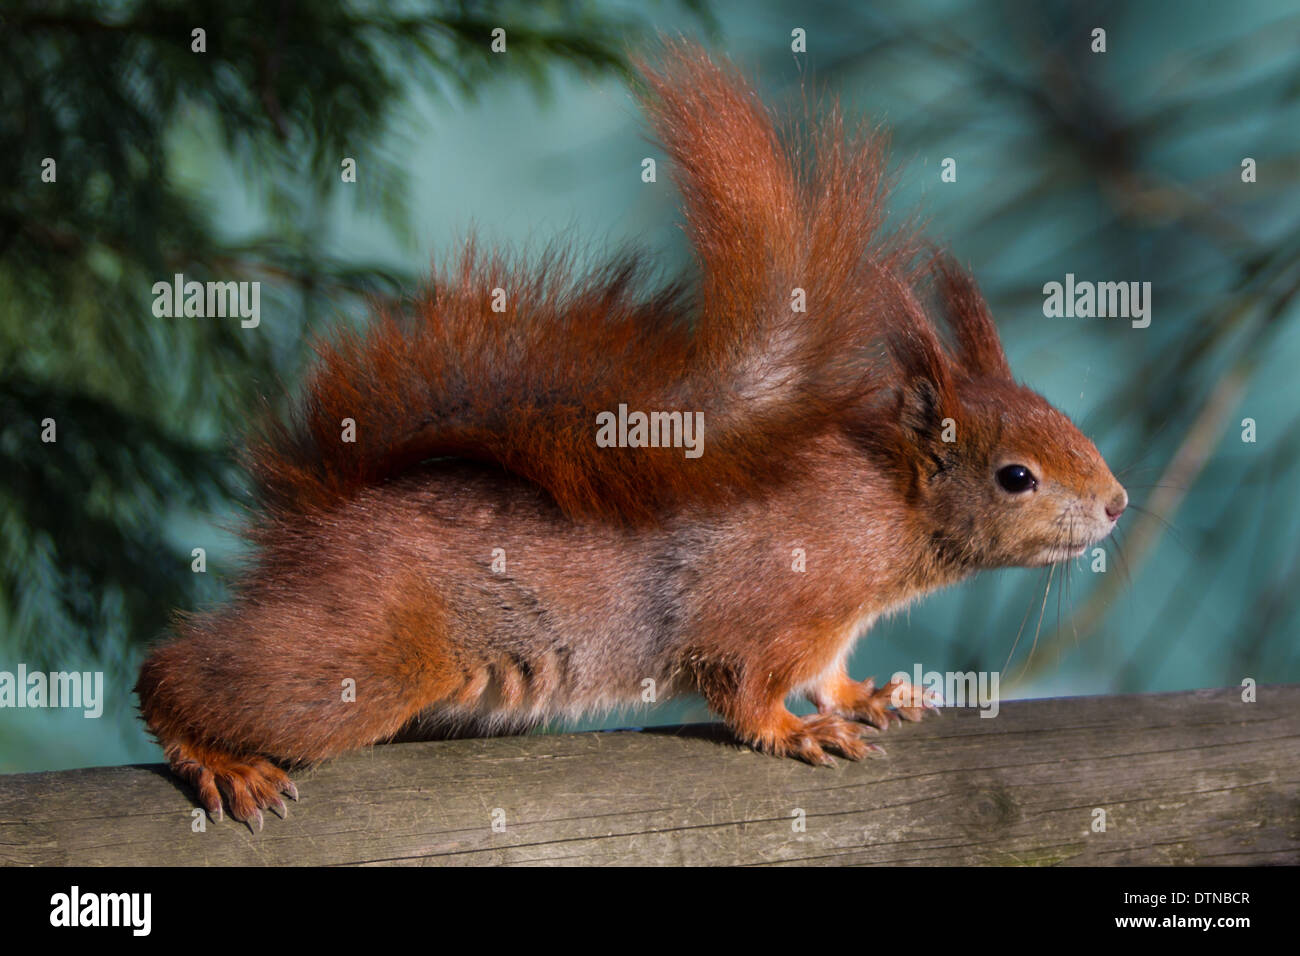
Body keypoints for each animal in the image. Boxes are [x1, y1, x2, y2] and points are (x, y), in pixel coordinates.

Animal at [136, 42, 1128, 827]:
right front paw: (799, 731)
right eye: (1016, 477)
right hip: (362, 661)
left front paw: (873, 694)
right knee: (189, 674)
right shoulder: (769, 604)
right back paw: (214, 754)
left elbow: (830, 669)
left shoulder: (830, 629)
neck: (884, 506)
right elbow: (748, 689)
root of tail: (319, 522)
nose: (1118, 504)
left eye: (1061, 417)